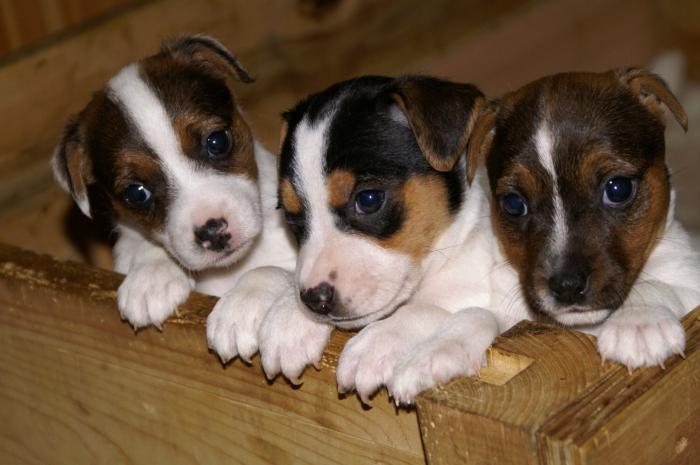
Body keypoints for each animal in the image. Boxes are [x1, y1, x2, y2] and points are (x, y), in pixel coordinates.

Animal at [52, 37, 296, 330]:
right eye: (137, 193)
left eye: (217, 141)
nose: (212, 232)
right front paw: (151, 276)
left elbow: (274, 271)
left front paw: (244, 303)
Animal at [470, 66, 700, 370]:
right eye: (514, 203)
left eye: (618, 188)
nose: (566, 286)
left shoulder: (689, 280)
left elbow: (655, 285)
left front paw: (639, 321)